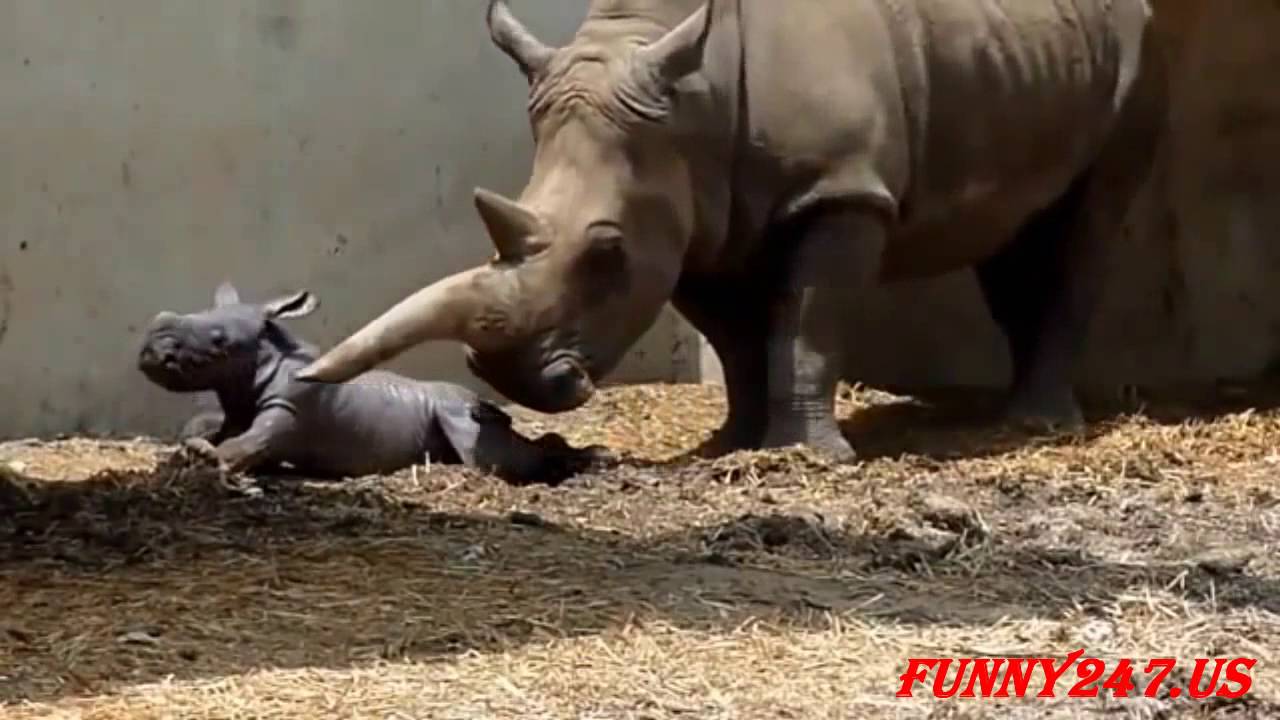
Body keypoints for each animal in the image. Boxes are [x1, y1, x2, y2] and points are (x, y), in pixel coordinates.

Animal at [296, 0, 1166, 462]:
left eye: (605, 253)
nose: (510, 380)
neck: (690, 103)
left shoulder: (840, 190)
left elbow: (807, 324)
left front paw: (808, 457)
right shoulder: (693, 218)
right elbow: (735, 334)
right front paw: (732, 445)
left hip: (1150, 41)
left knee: (1090, 213)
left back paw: (1037, 424)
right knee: (1017, 223)